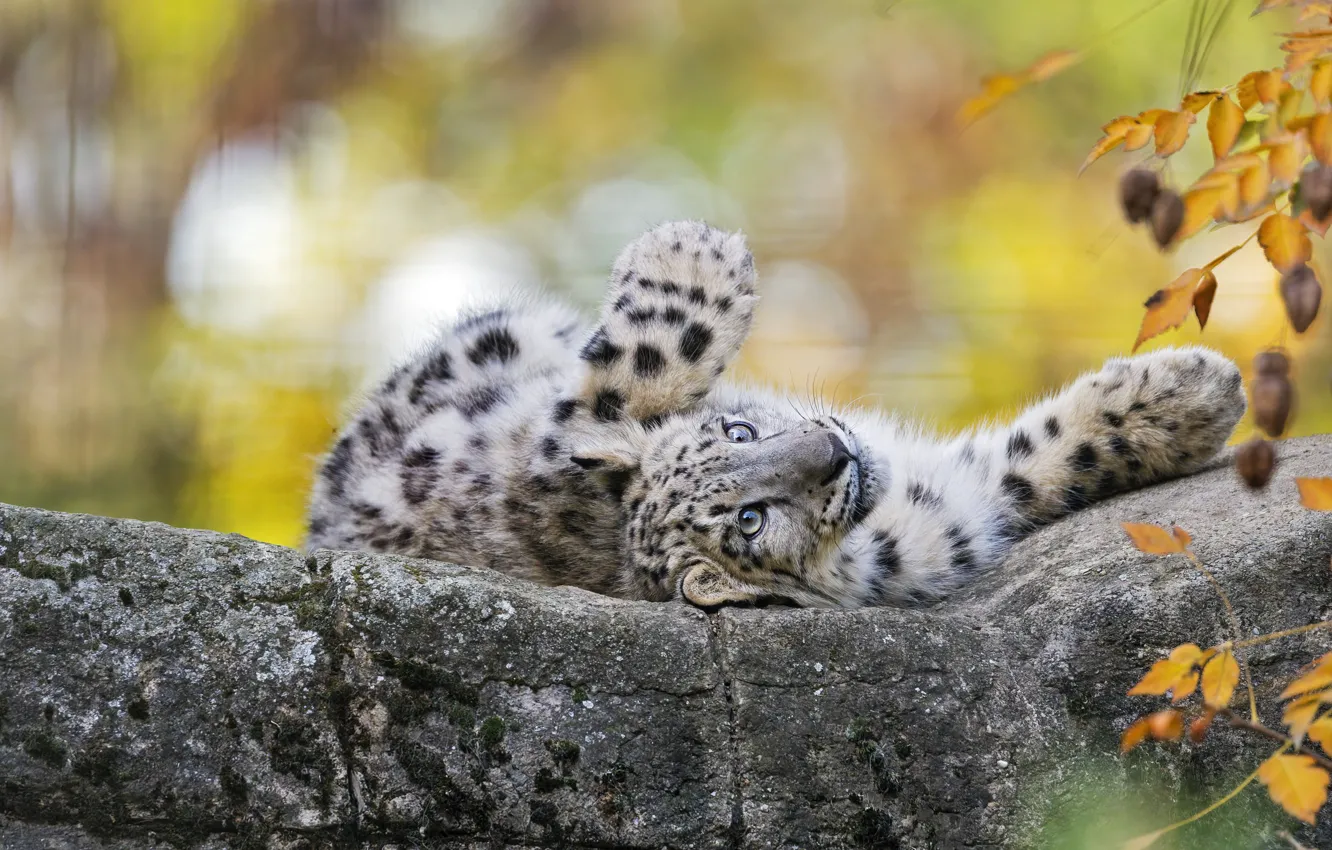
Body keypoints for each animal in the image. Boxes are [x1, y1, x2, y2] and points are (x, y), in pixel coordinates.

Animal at [305, 220, 1247, 608]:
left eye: (739, 432)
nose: (834, 455)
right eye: (750, 523)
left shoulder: (947, 506)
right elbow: (626, 375)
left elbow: (1035, 454)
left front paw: (1187, 395)